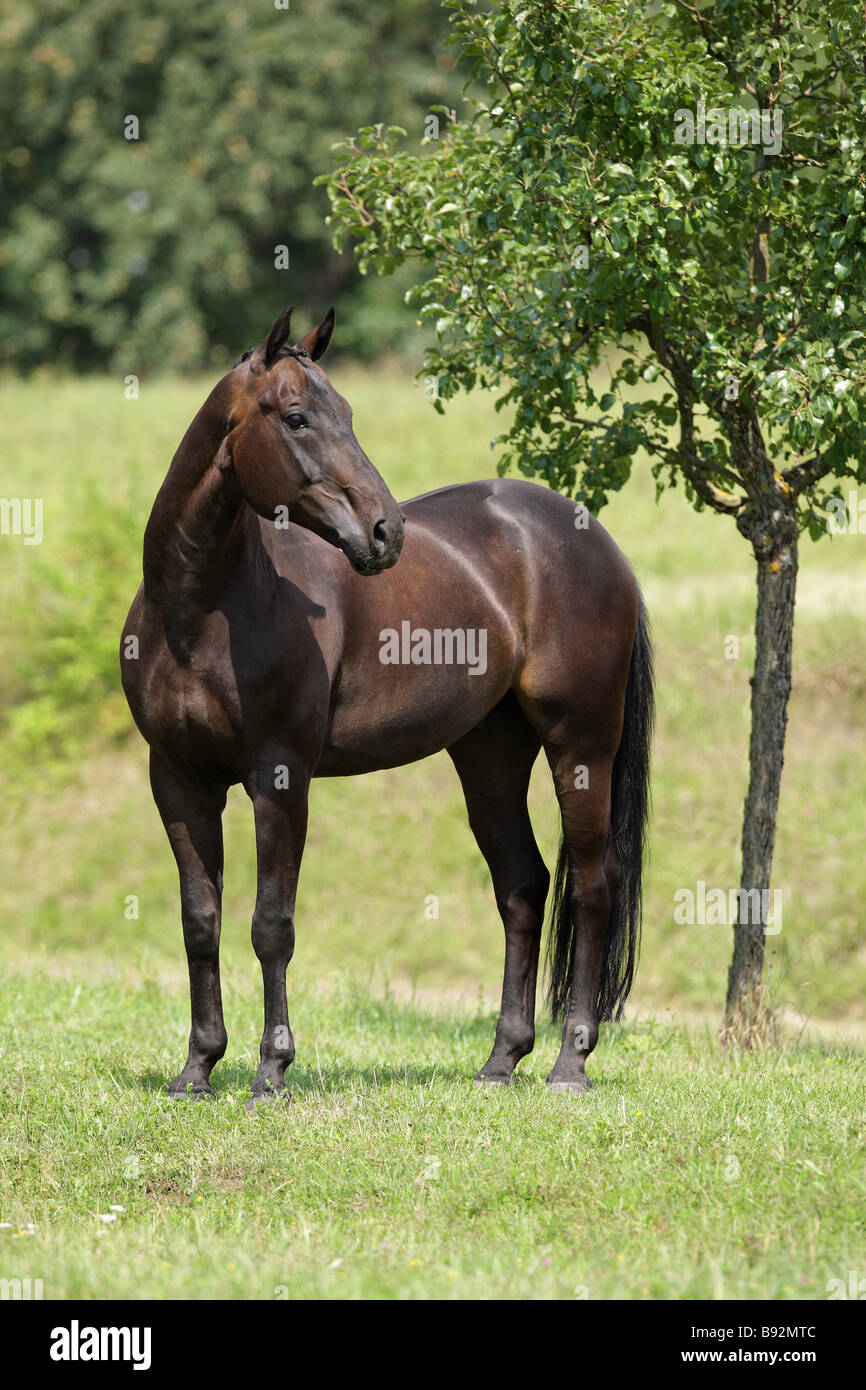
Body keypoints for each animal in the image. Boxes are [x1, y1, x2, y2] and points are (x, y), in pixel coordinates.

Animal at [120, 306, 653, 1104]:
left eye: (348, 414)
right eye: (298, 417)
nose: (384, 532)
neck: (199, 608)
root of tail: (593, 538)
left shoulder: (279, 777)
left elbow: (271, 923)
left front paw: (271, 1069)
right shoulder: (178, 780)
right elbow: (200, 920)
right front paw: (198, 1068)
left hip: (581, 745)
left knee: (592, 885)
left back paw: (570, 1063)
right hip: (490, 756)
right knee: (523, 887)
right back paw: (502, 1060)